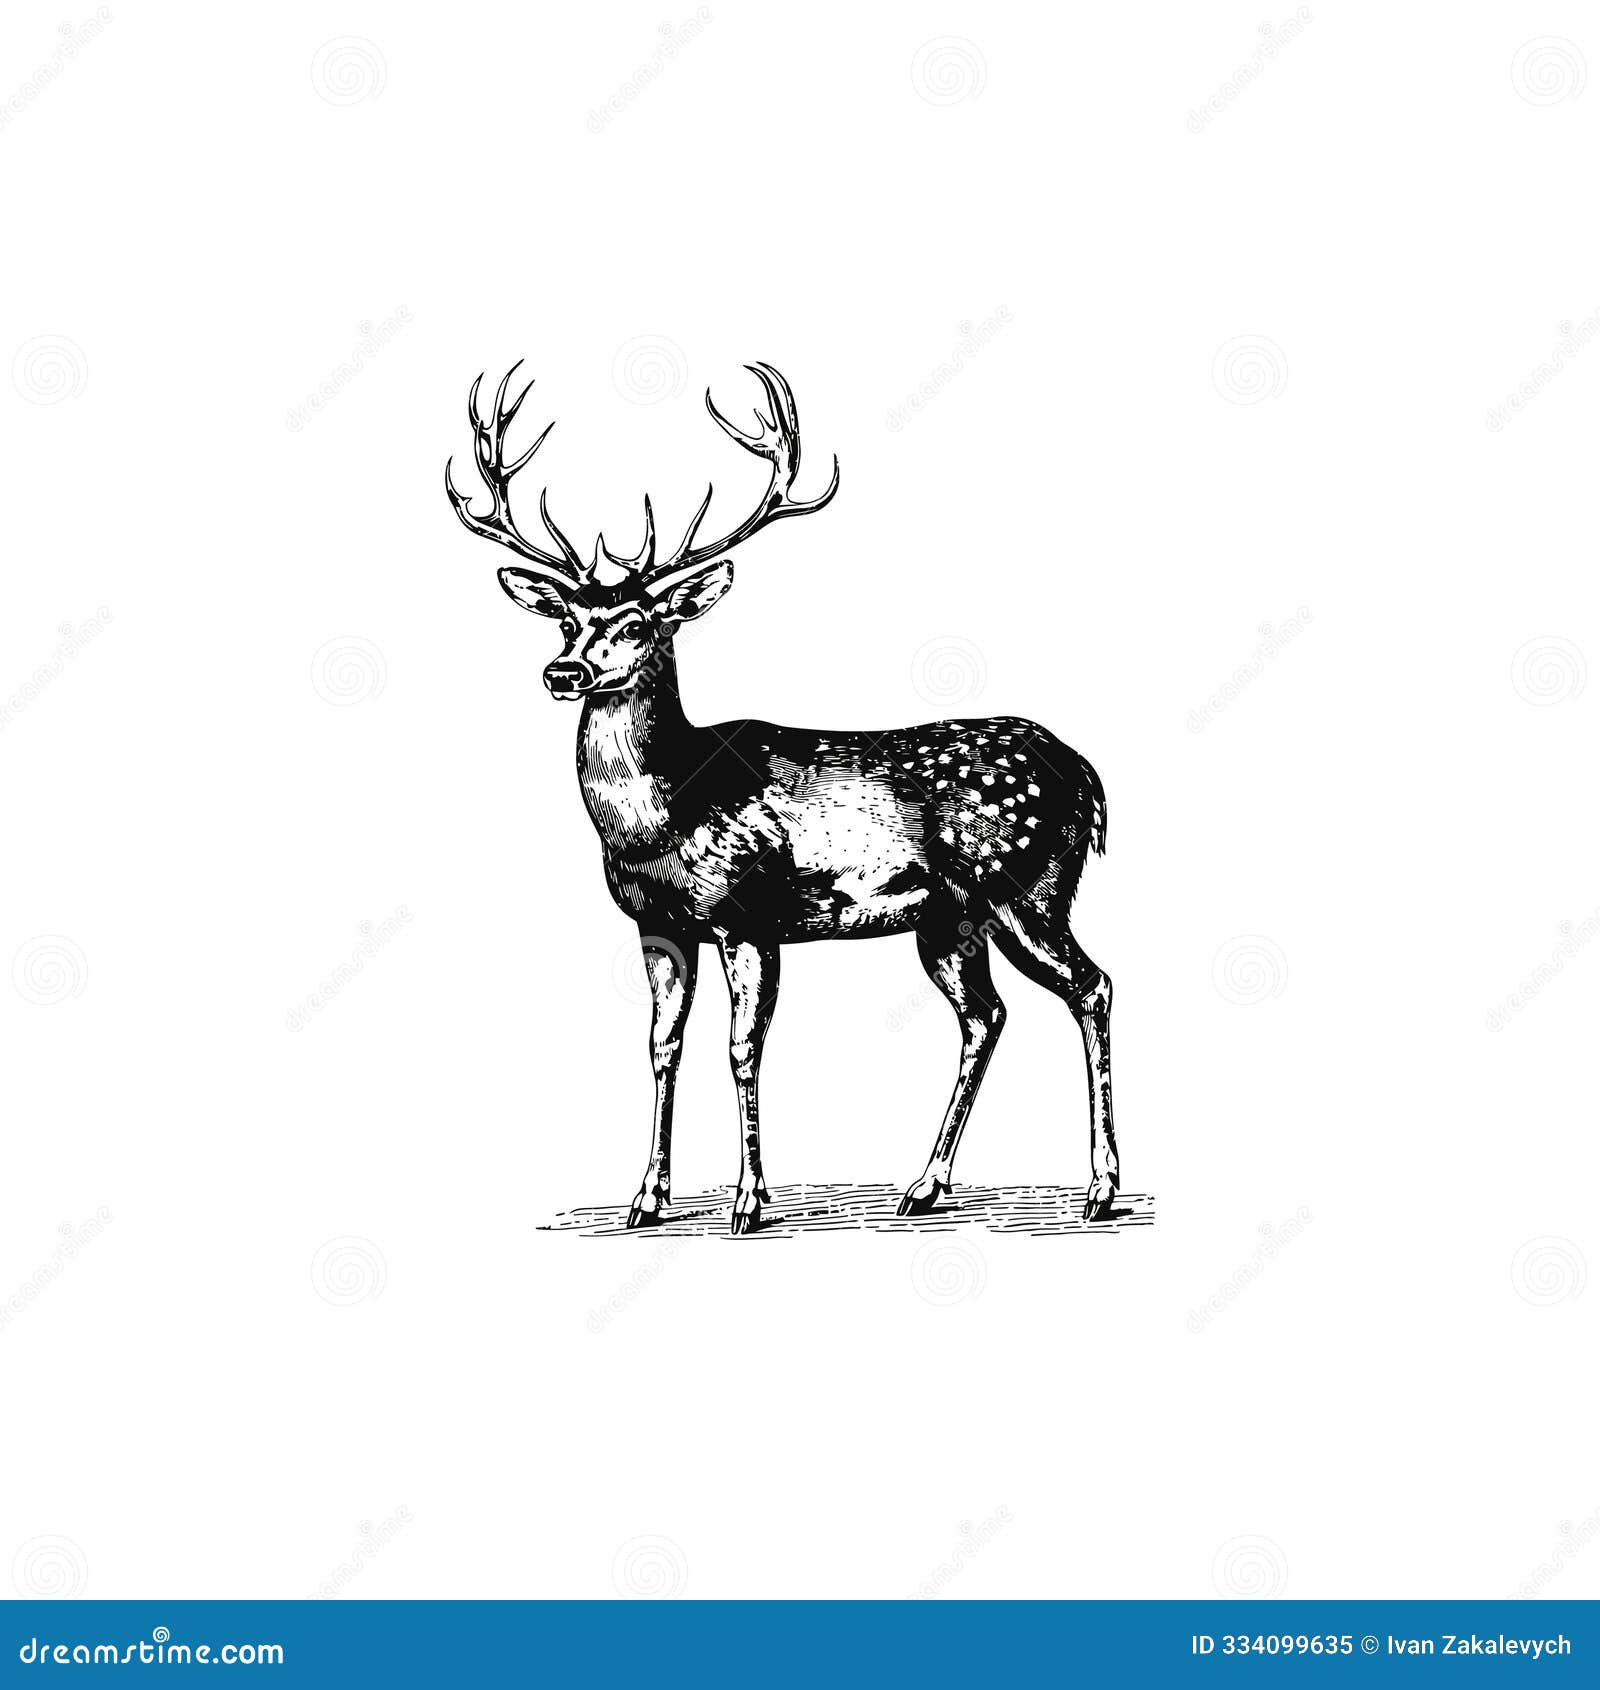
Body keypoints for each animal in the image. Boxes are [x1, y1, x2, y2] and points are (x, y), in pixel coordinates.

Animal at [446, 361, 1119, 1235]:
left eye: (639, 623)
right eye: (564, 619)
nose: (564, 673)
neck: (662, 817)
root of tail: (1085, 773)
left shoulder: (748, 913)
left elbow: (742, 1049)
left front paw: (749, 1200)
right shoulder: (658, 924)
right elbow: (661, 1046)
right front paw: (645, 1198)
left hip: (1026, 883)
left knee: (1092, 988)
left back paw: (1101, 1189)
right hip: (949, 922)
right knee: (988, 1015)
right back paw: (924, 1185)